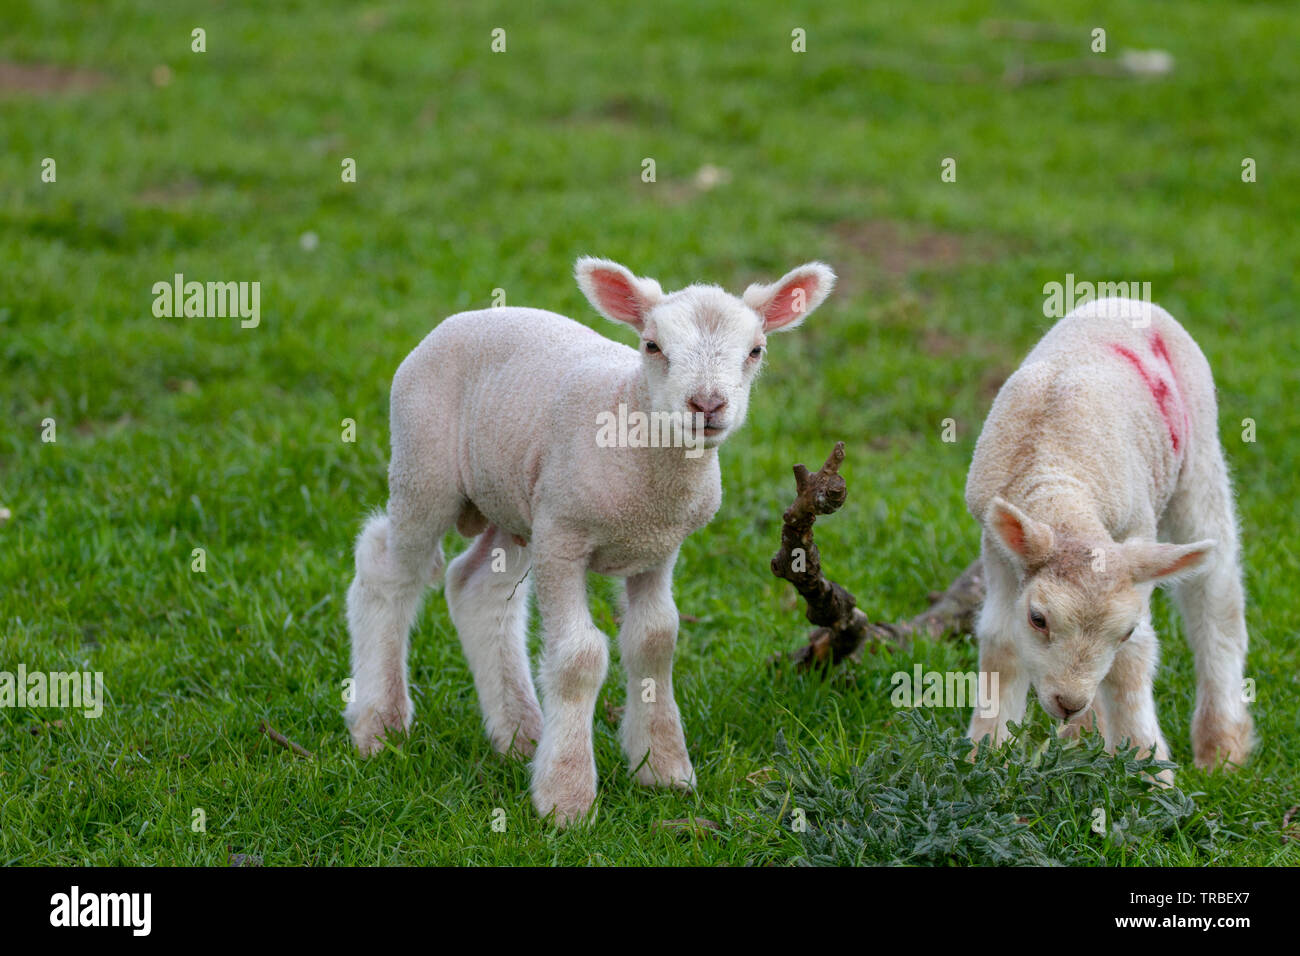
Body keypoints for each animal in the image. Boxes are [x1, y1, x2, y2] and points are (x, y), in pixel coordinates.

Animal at [344, 257, 836, 824]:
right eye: (652, 345)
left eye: (755, 350)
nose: (706, 405)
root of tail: (464, 317)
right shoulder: (564, 538)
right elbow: (578, 657)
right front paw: (567, 796)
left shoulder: (657, 549)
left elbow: (655, 640)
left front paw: (663, 767)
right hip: (426, 467)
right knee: (387, 570)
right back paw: (379, 723)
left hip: (517, 504)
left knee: (475, 587)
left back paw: (519, 732)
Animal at [965, 297, 1254, 779]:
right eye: (1038, 619)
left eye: (1125, 629)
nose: (1068, 702)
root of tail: (1126, 299)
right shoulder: (998, 546)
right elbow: (1000, 643)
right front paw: (983, 758)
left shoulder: (1135, 533)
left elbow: (1132, 661)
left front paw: (1151, 773)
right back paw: (1083, 737)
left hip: (1199, 460)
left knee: (1216, 598)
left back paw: (1221, 749)